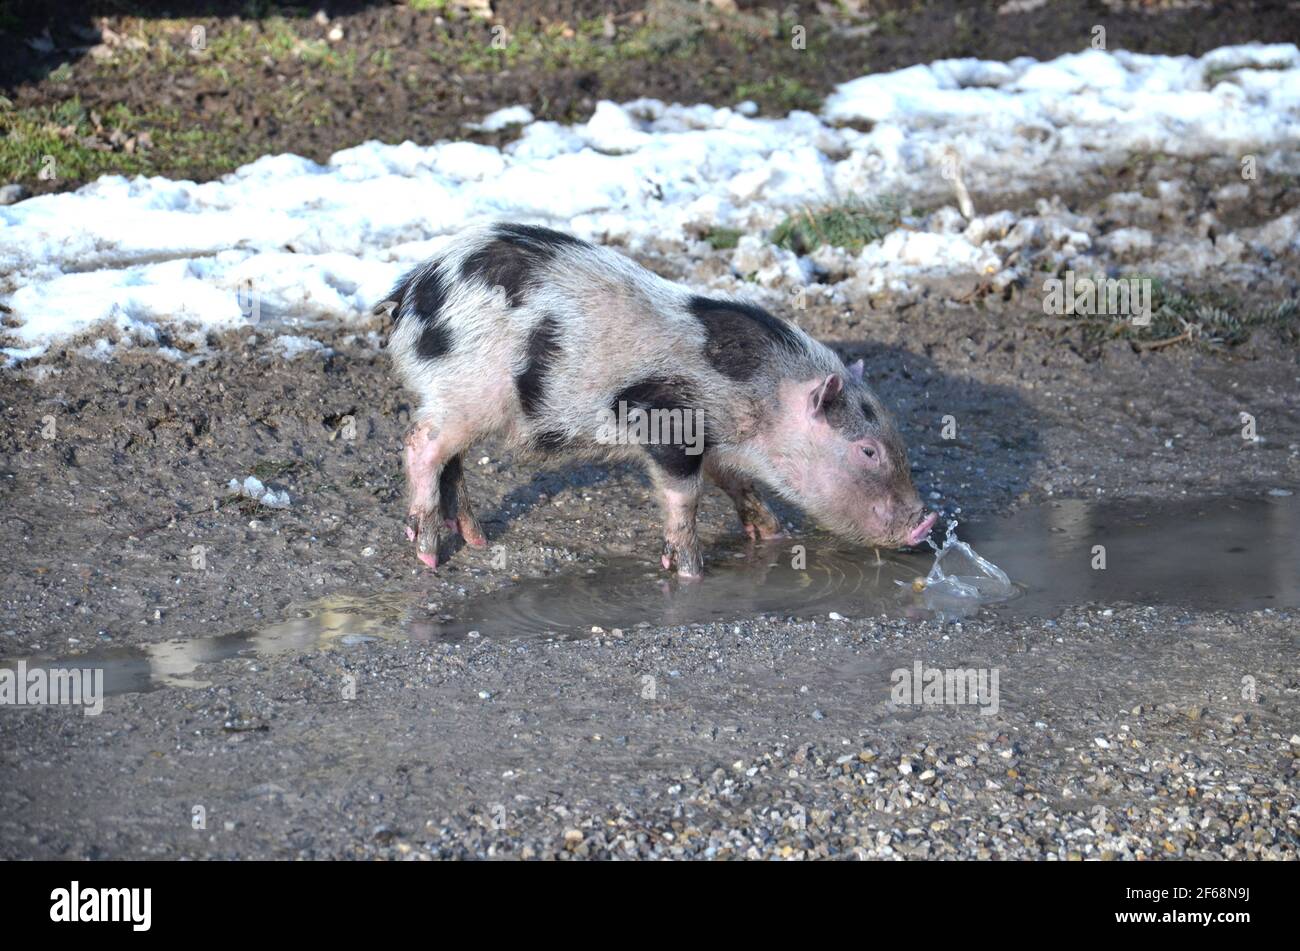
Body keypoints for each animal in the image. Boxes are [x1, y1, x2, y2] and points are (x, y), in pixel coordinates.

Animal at [377, 222, 937, 576]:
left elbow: (739, 485)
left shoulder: (721, 447)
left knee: (452, 461)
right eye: (868, 451)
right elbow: (684, 497)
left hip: (458, 399)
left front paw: (771, 537)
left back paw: (477, 541)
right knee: (421, 445)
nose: (926, 521)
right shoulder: (666, 420)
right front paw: (689, 571)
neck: (760, 403)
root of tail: (410, 296)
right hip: (468, 393)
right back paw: (428, 556)